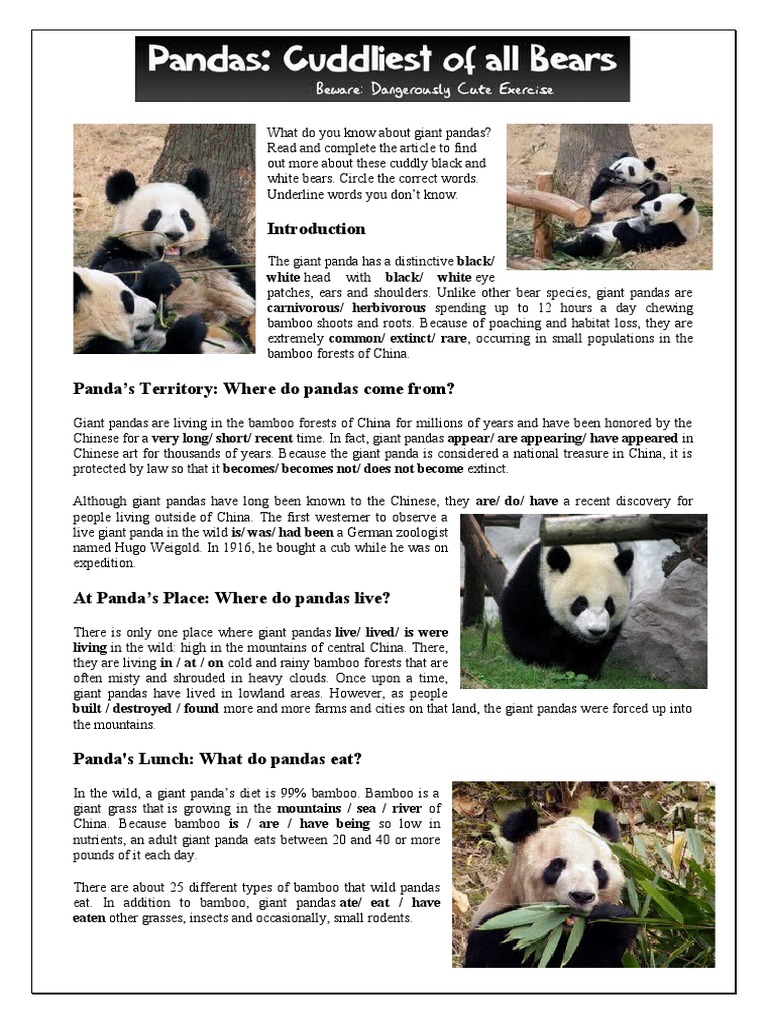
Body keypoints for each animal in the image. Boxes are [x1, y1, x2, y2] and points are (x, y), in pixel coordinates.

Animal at [89, 168, 255, 352]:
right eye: (154, 215)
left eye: (185, 215)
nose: (174, 234)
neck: (174, 260)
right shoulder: (118, 253)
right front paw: (160, 276)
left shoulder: (219, 256)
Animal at [500, 541, 633, 678]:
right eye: (581, 602)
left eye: (609, 604)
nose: (596, 631)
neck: (587, 548)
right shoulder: (533, 580)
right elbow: (524, 623)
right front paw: (541, 661)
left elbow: (592, 649)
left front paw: (583, 671)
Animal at [557, 193, 699, 259]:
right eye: (656, 199)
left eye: (657, 205)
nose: (642, 206)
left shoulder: (671, 234)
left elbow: (640, 244)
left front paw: (619, 228)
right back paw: (569, 228)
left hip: (604, 245)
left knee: (588, 244)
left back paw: (560, 245)